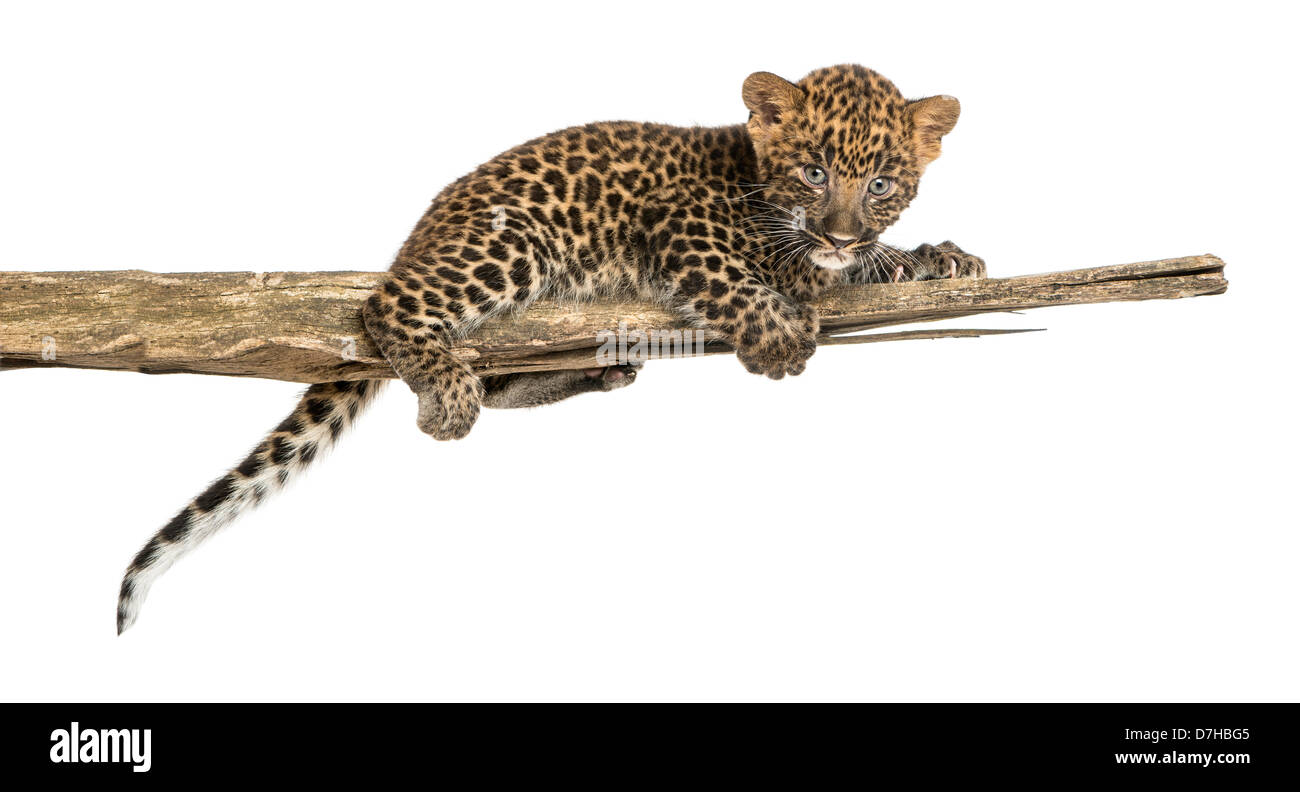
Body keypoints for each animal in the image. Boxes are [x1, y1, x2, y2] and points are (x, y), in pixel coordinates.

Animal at [115, 64, 985, 633]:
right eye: (813, 172)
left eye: (882, 183)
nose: (842, 232)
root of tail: (416, 235)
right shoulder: (684, 224)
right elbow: (752, 276)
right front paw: (783, 333)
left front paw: (933, 258)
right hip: (511, 243)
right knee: (389, 308)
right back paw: (448, 397)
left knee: (504, 380)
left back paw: (597, 370)